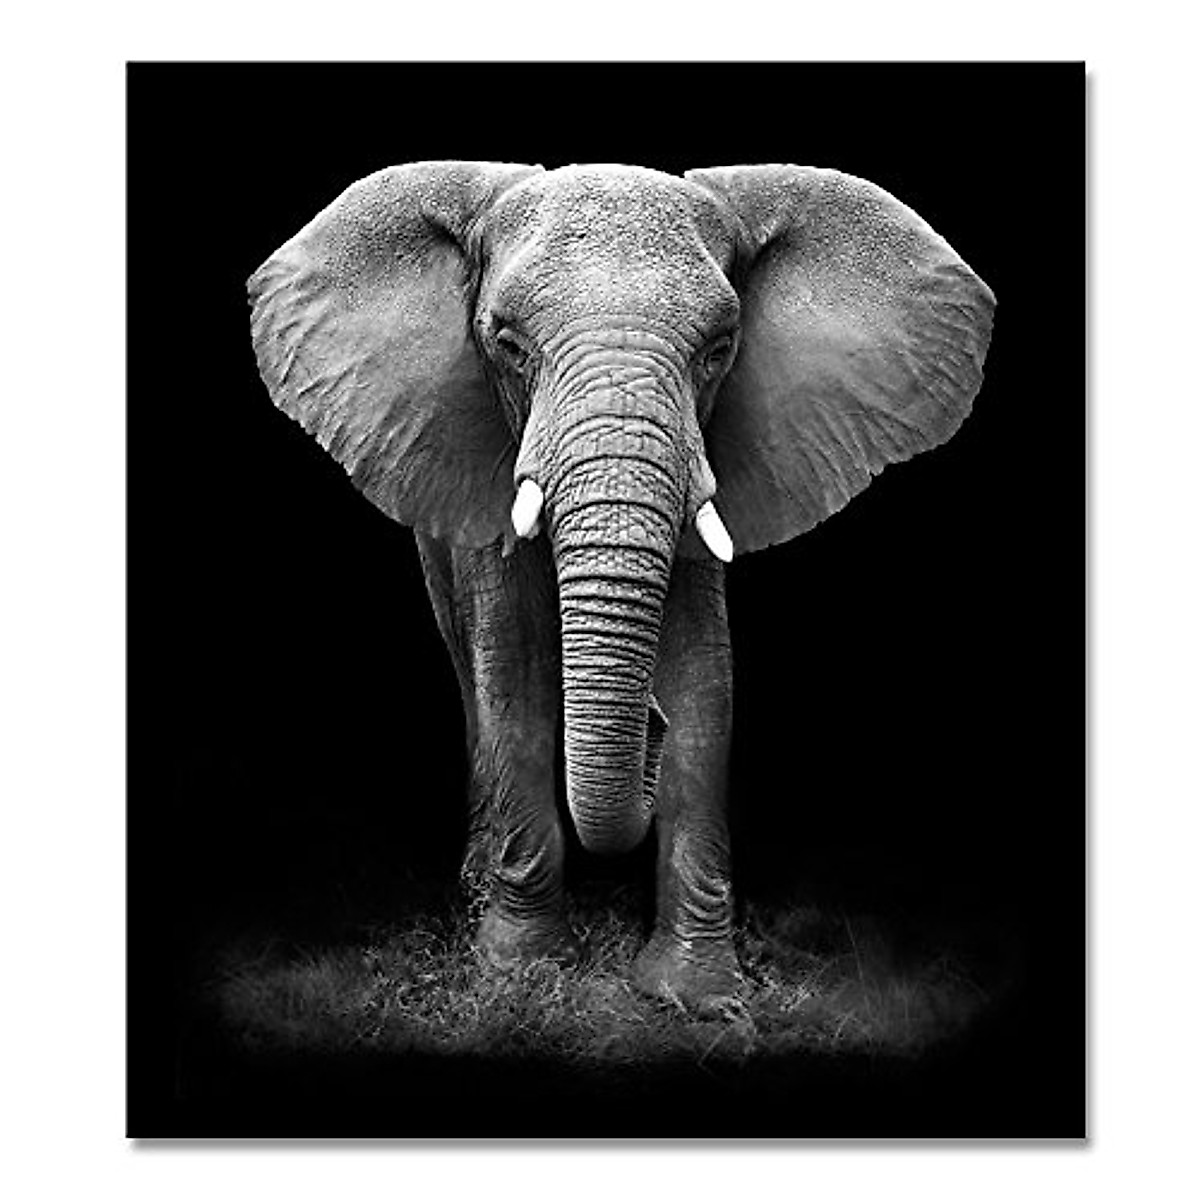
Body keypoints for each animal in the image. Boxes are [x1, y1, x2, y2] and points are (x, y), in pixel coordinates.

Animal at [248, 160, 994, 1014]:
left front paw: (698, 995)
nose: (649, 726)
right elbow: (515, 677)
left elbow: (707, 682)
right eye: (507, 344)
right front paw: (522, 973)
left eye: (720, 348)